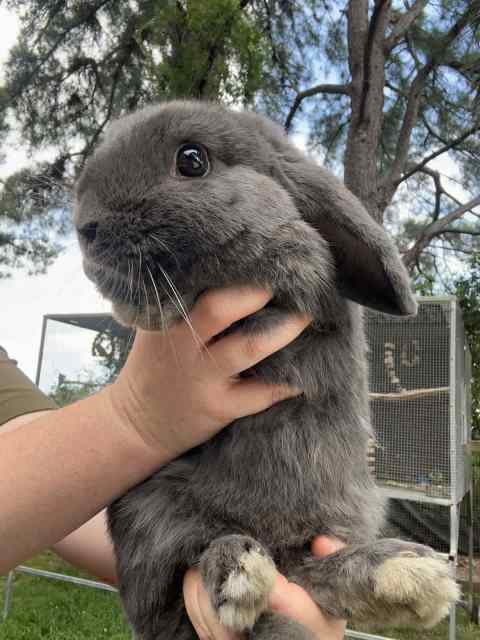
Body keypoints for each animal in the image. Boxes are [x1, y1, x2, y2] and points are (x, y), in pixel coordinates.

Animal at [74, 100, 459, 640]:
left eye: (192, 160)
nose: (86, 227)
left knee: (311, 575)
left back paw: (405, 574)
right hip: (153, 505)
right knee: (199, 555)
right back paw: (242, 571)